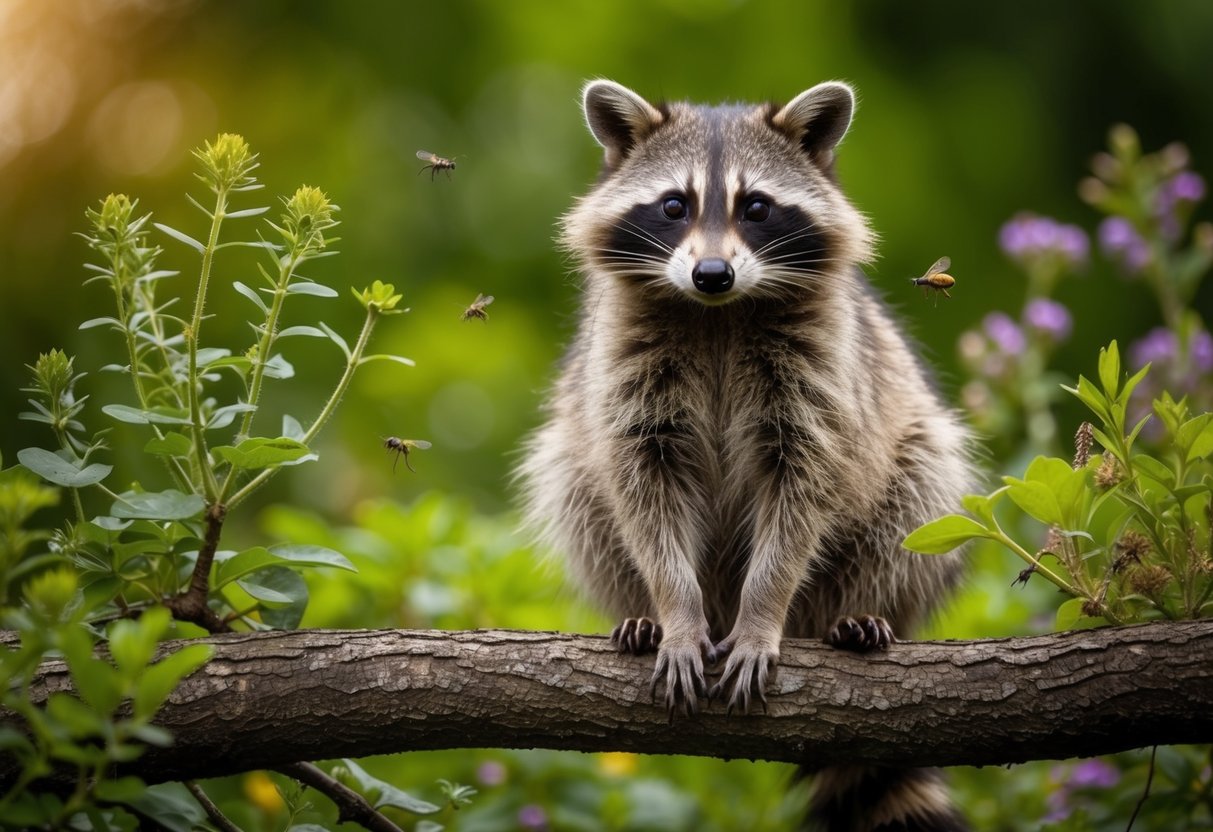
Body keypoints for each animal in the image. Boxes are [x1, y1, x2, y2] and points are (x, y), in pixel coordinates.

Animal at [520, 79, 974, 831]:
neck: (716, 314)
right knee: (578, 486)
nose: (712, 273)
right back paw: (643, 614)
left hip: (911, 449)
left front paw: (764, 615)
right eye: (673, 206)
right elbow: (641, 489)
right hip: (572, 453)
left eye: (755, 207)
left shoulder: (821, 376)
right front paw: (674, 612)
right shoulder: (623, 376)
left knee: (920, 486)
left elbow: (803, 492)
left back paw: (855, 613)